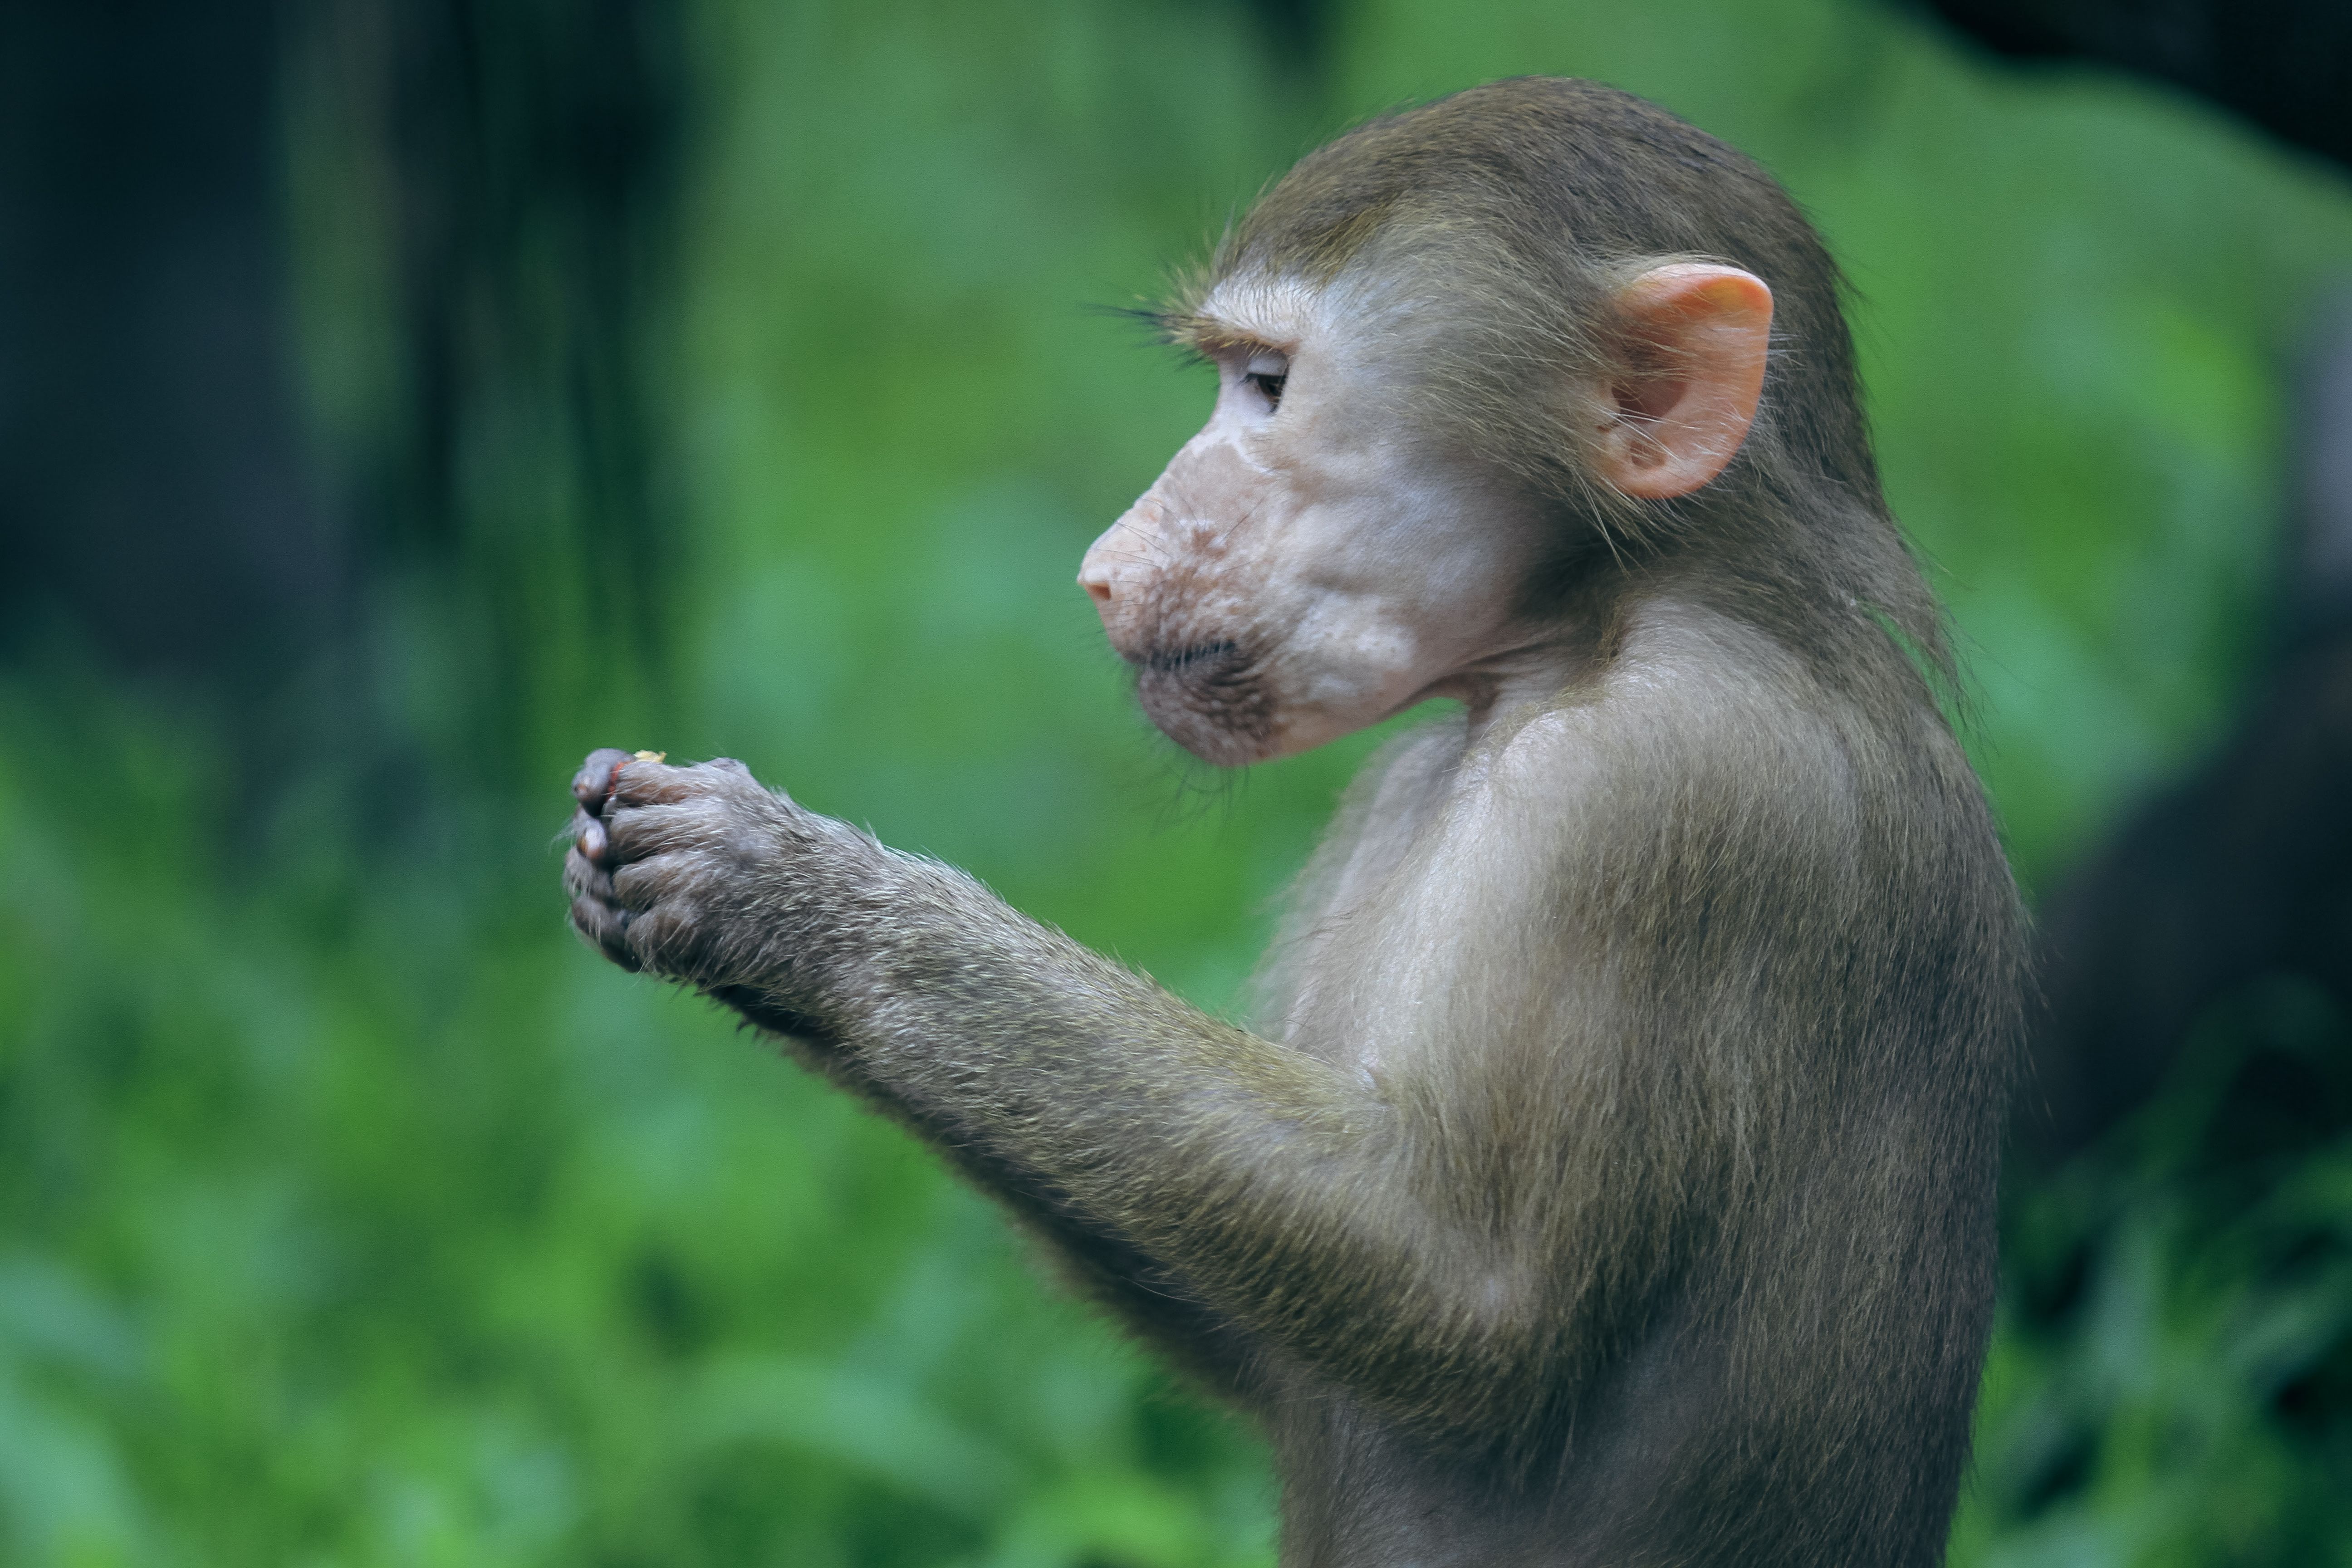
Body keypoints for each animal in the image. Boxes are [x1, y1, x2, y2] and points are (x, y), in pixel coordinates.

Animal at [563, 78, 2023, 1568]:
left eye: (1269, 385)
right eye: (1230, 377)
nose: (1104, 563)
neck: (1599, 634)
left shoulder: (1657, 786)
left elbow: (1472, 1298)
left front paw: (796, 901)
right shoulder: (1402, 785)